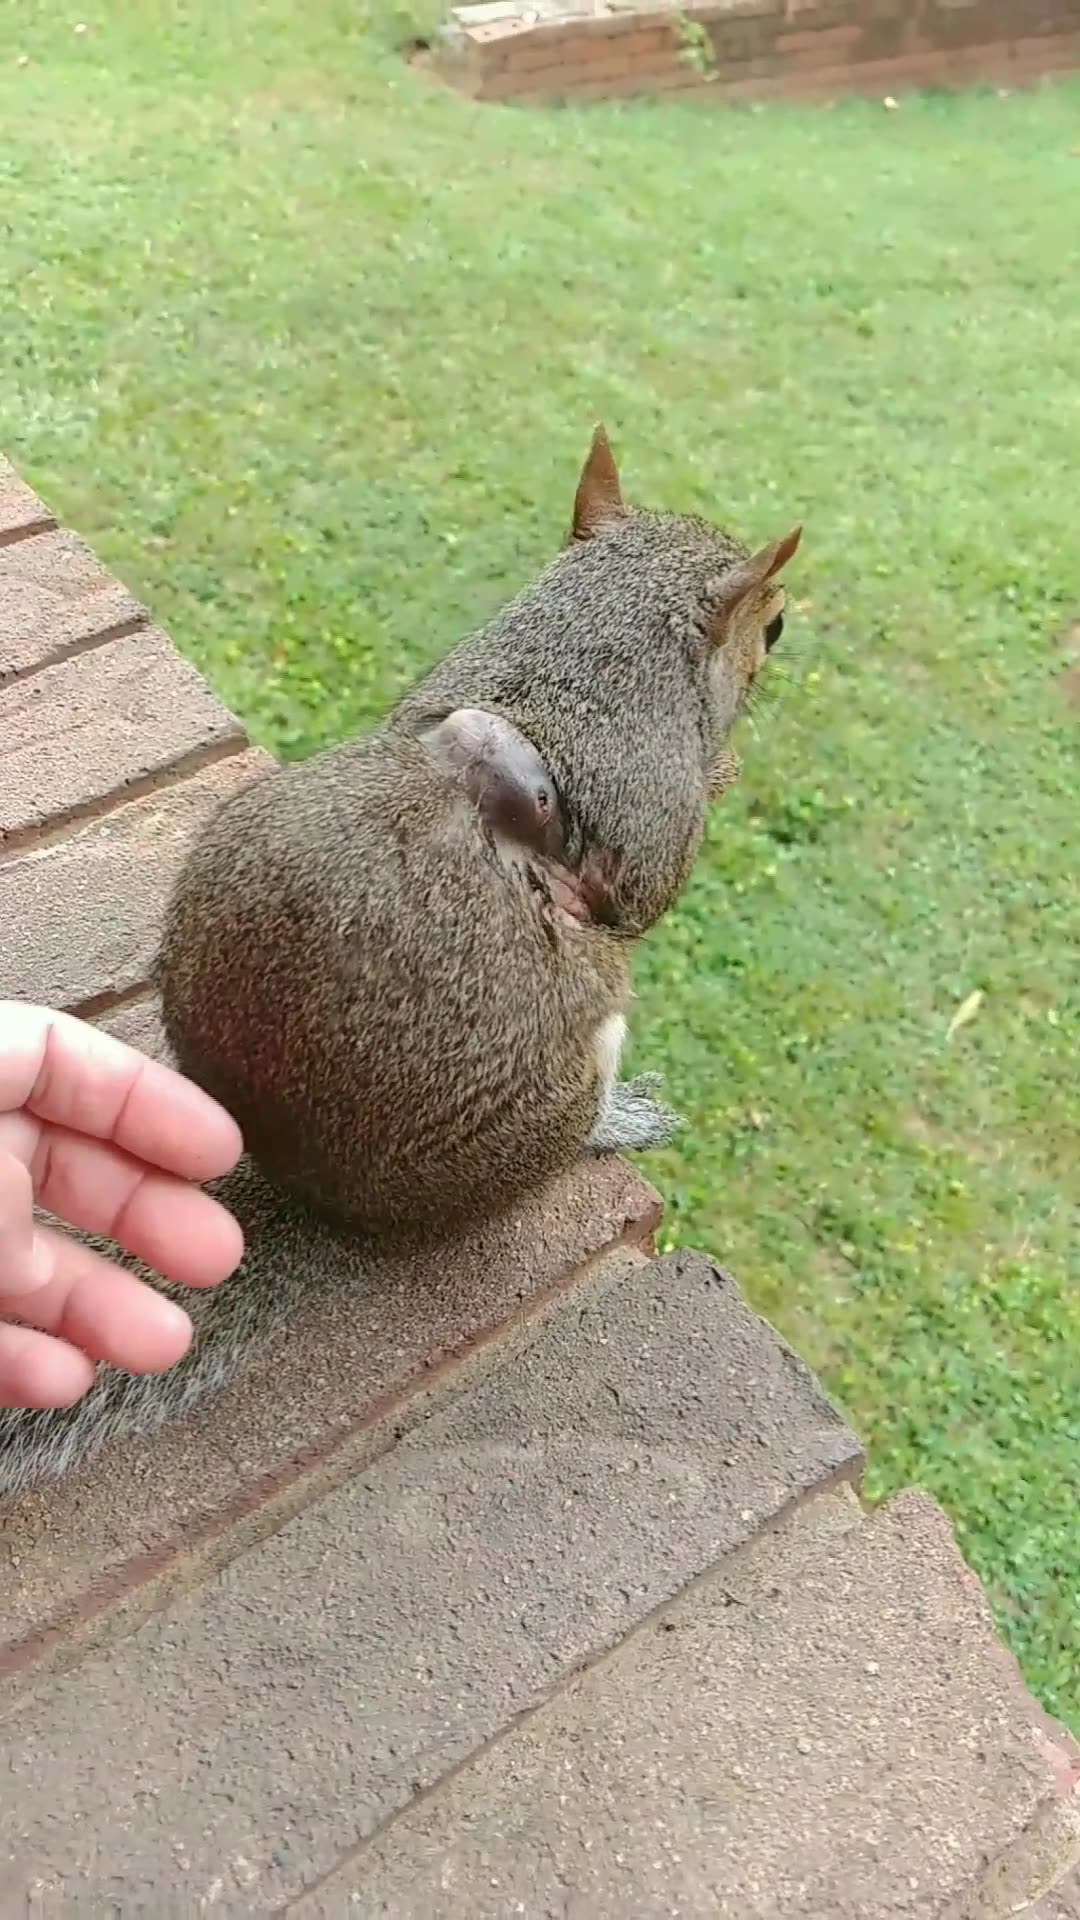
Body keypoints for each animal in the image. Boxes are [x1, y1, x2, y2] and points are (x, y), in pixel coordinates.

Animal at [0, 428, 800, 1493]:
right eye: (774, 627)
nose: (781, 641)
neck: (588, 647)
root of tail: (321, 1194)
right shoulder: (648, 812)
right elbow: (656, 879)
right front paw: (727, 769)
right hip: (556, 1093)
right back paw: (614, 1123)